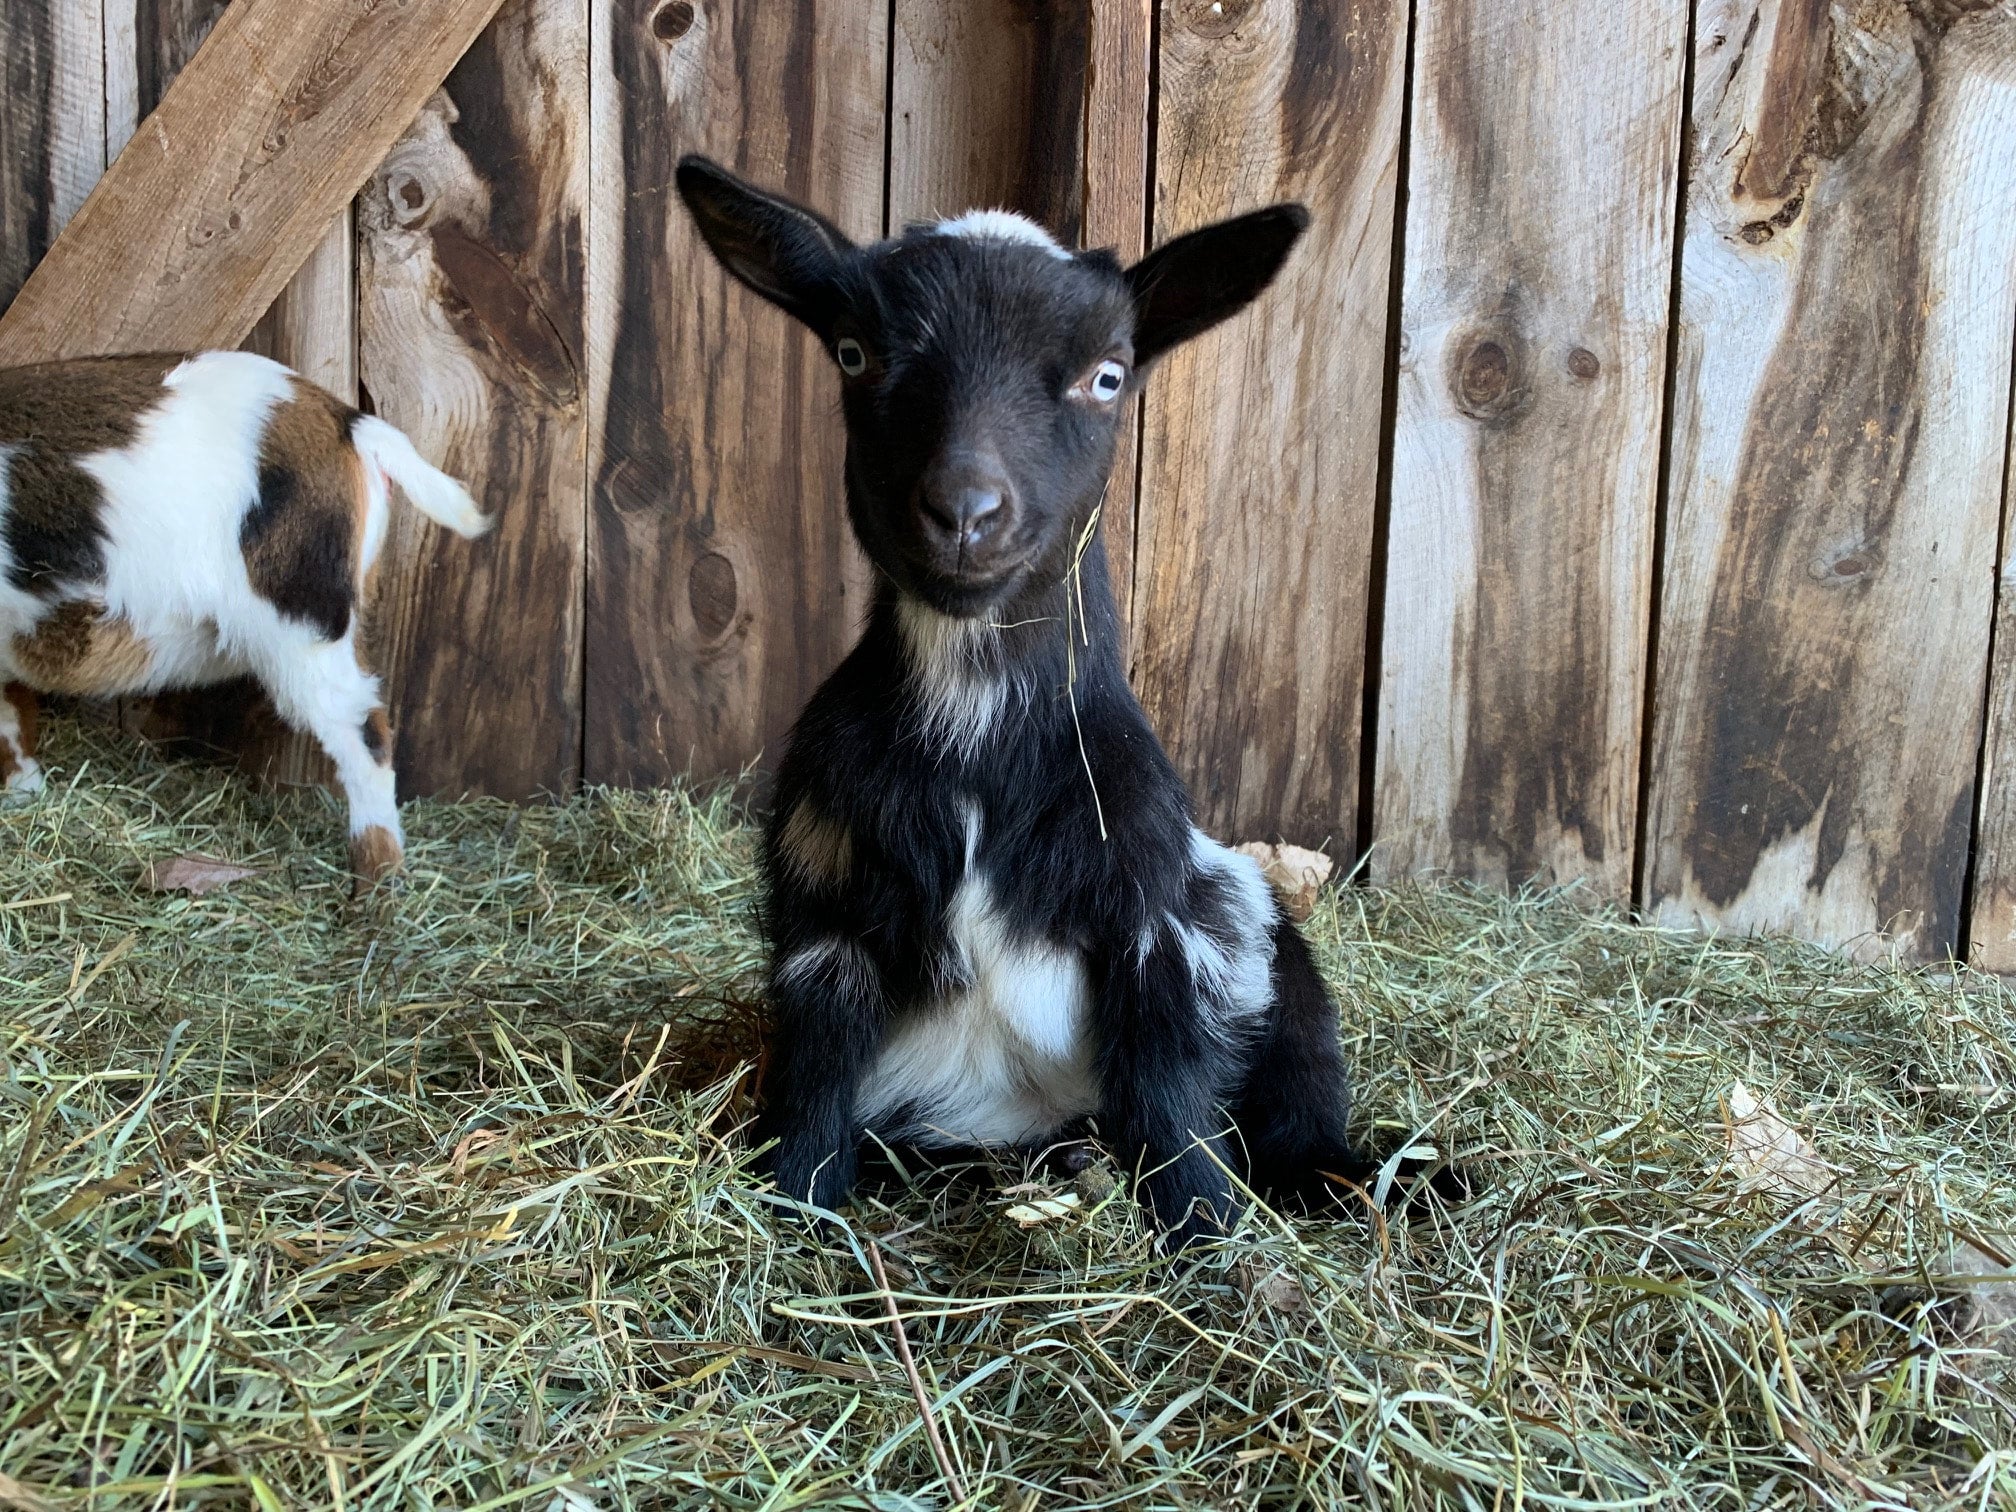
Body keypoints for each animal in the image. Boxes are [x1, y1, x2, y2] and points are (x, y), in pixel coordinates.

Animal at [0, 351, 490, 890]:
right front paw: (25, 791)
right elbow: (12, 716)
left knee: (365, 733)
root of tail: (350, 422)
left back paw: (374, 888)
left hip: (305, 616)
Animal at [678, 157, 1449, 1247]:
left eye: (1109, 373)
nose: (965, 511)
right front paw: (792, 1216)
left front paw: (1206, 1245)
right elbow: (813, 1095)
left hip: (1277, 953)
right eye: (855, 352)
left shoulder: (1156, 921)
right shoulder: (823, 914)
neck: (973, 738)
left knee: (1302, 1098)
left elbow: (1172, 1112)